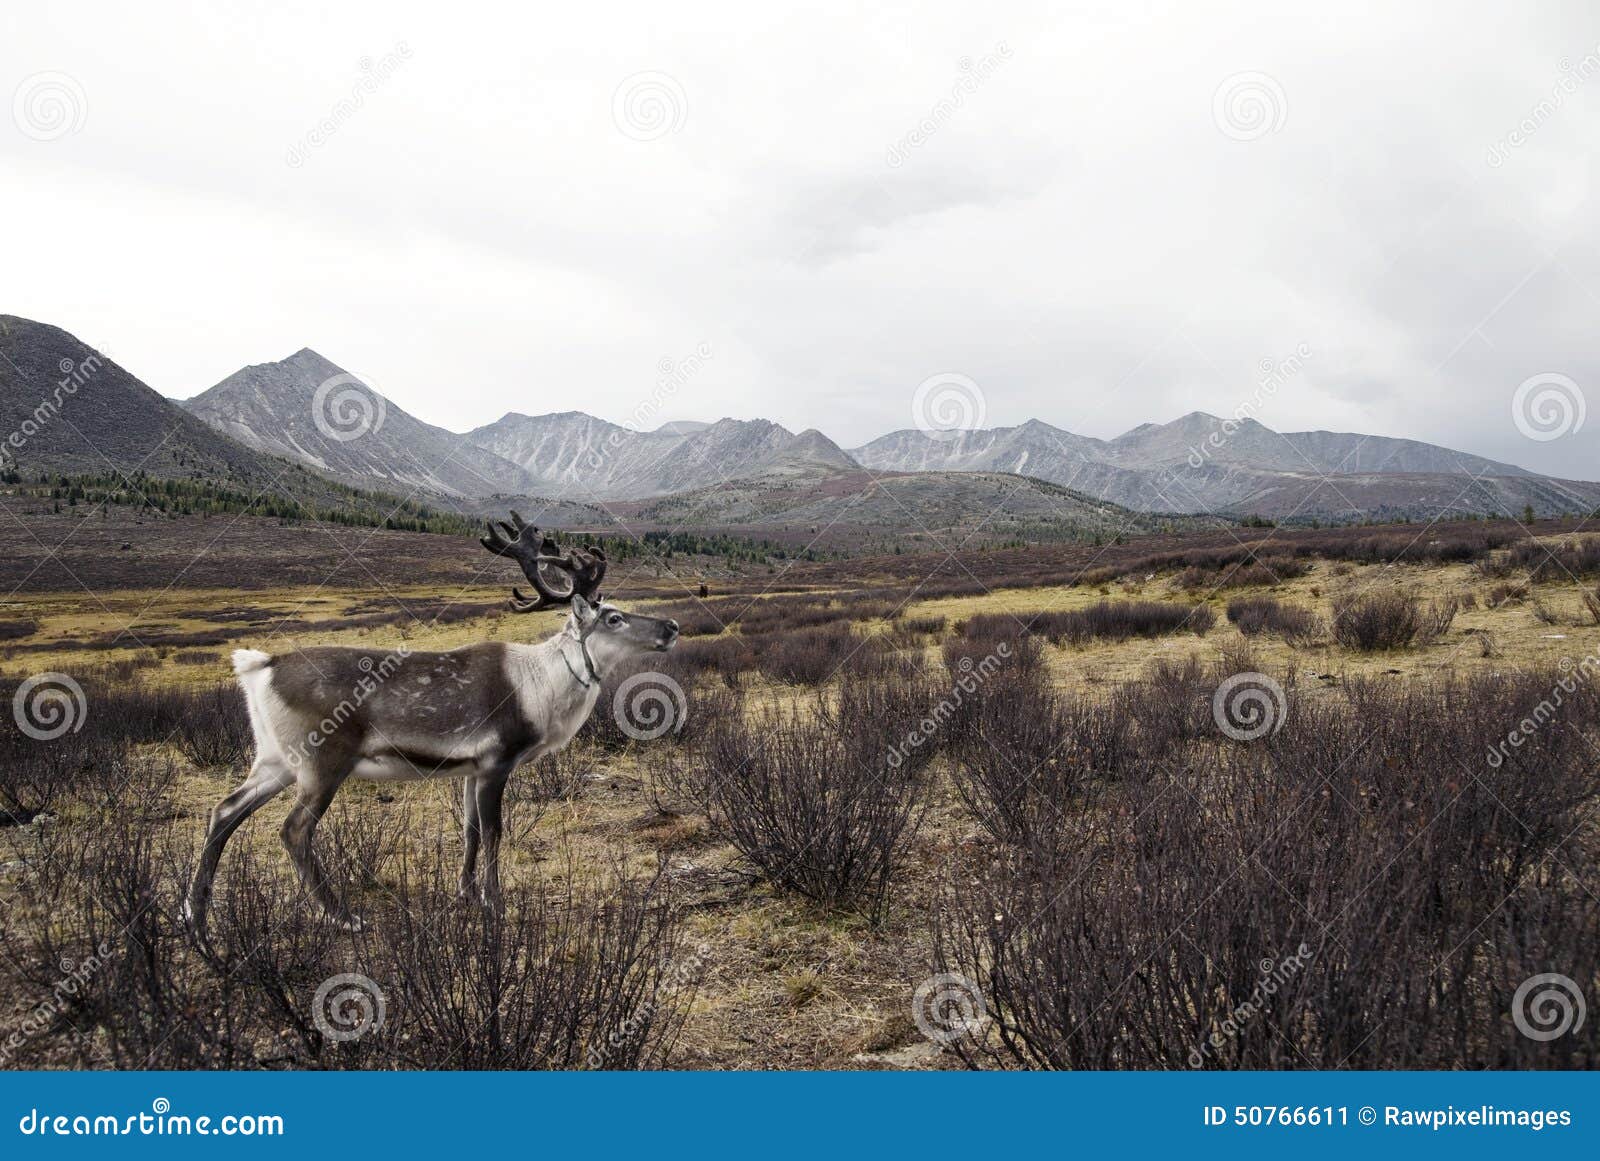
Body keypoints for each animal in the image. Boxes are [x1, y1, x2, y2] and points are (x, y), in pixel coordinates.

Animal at [183, 513, 679, 934]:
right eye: (613, 617)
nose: (672, 626)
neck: (544, 686)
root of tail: (260, 666)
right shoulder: (498, 760)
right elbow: (495, 831)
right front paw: (496, 903)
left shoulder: (471, 769)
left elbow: (470, 830)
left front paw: (465, 893)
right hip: (322, 761)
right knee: (294, 830)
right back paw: (342, 916)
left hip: (274, 760)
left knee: (224, 810)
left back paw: (196, 913)